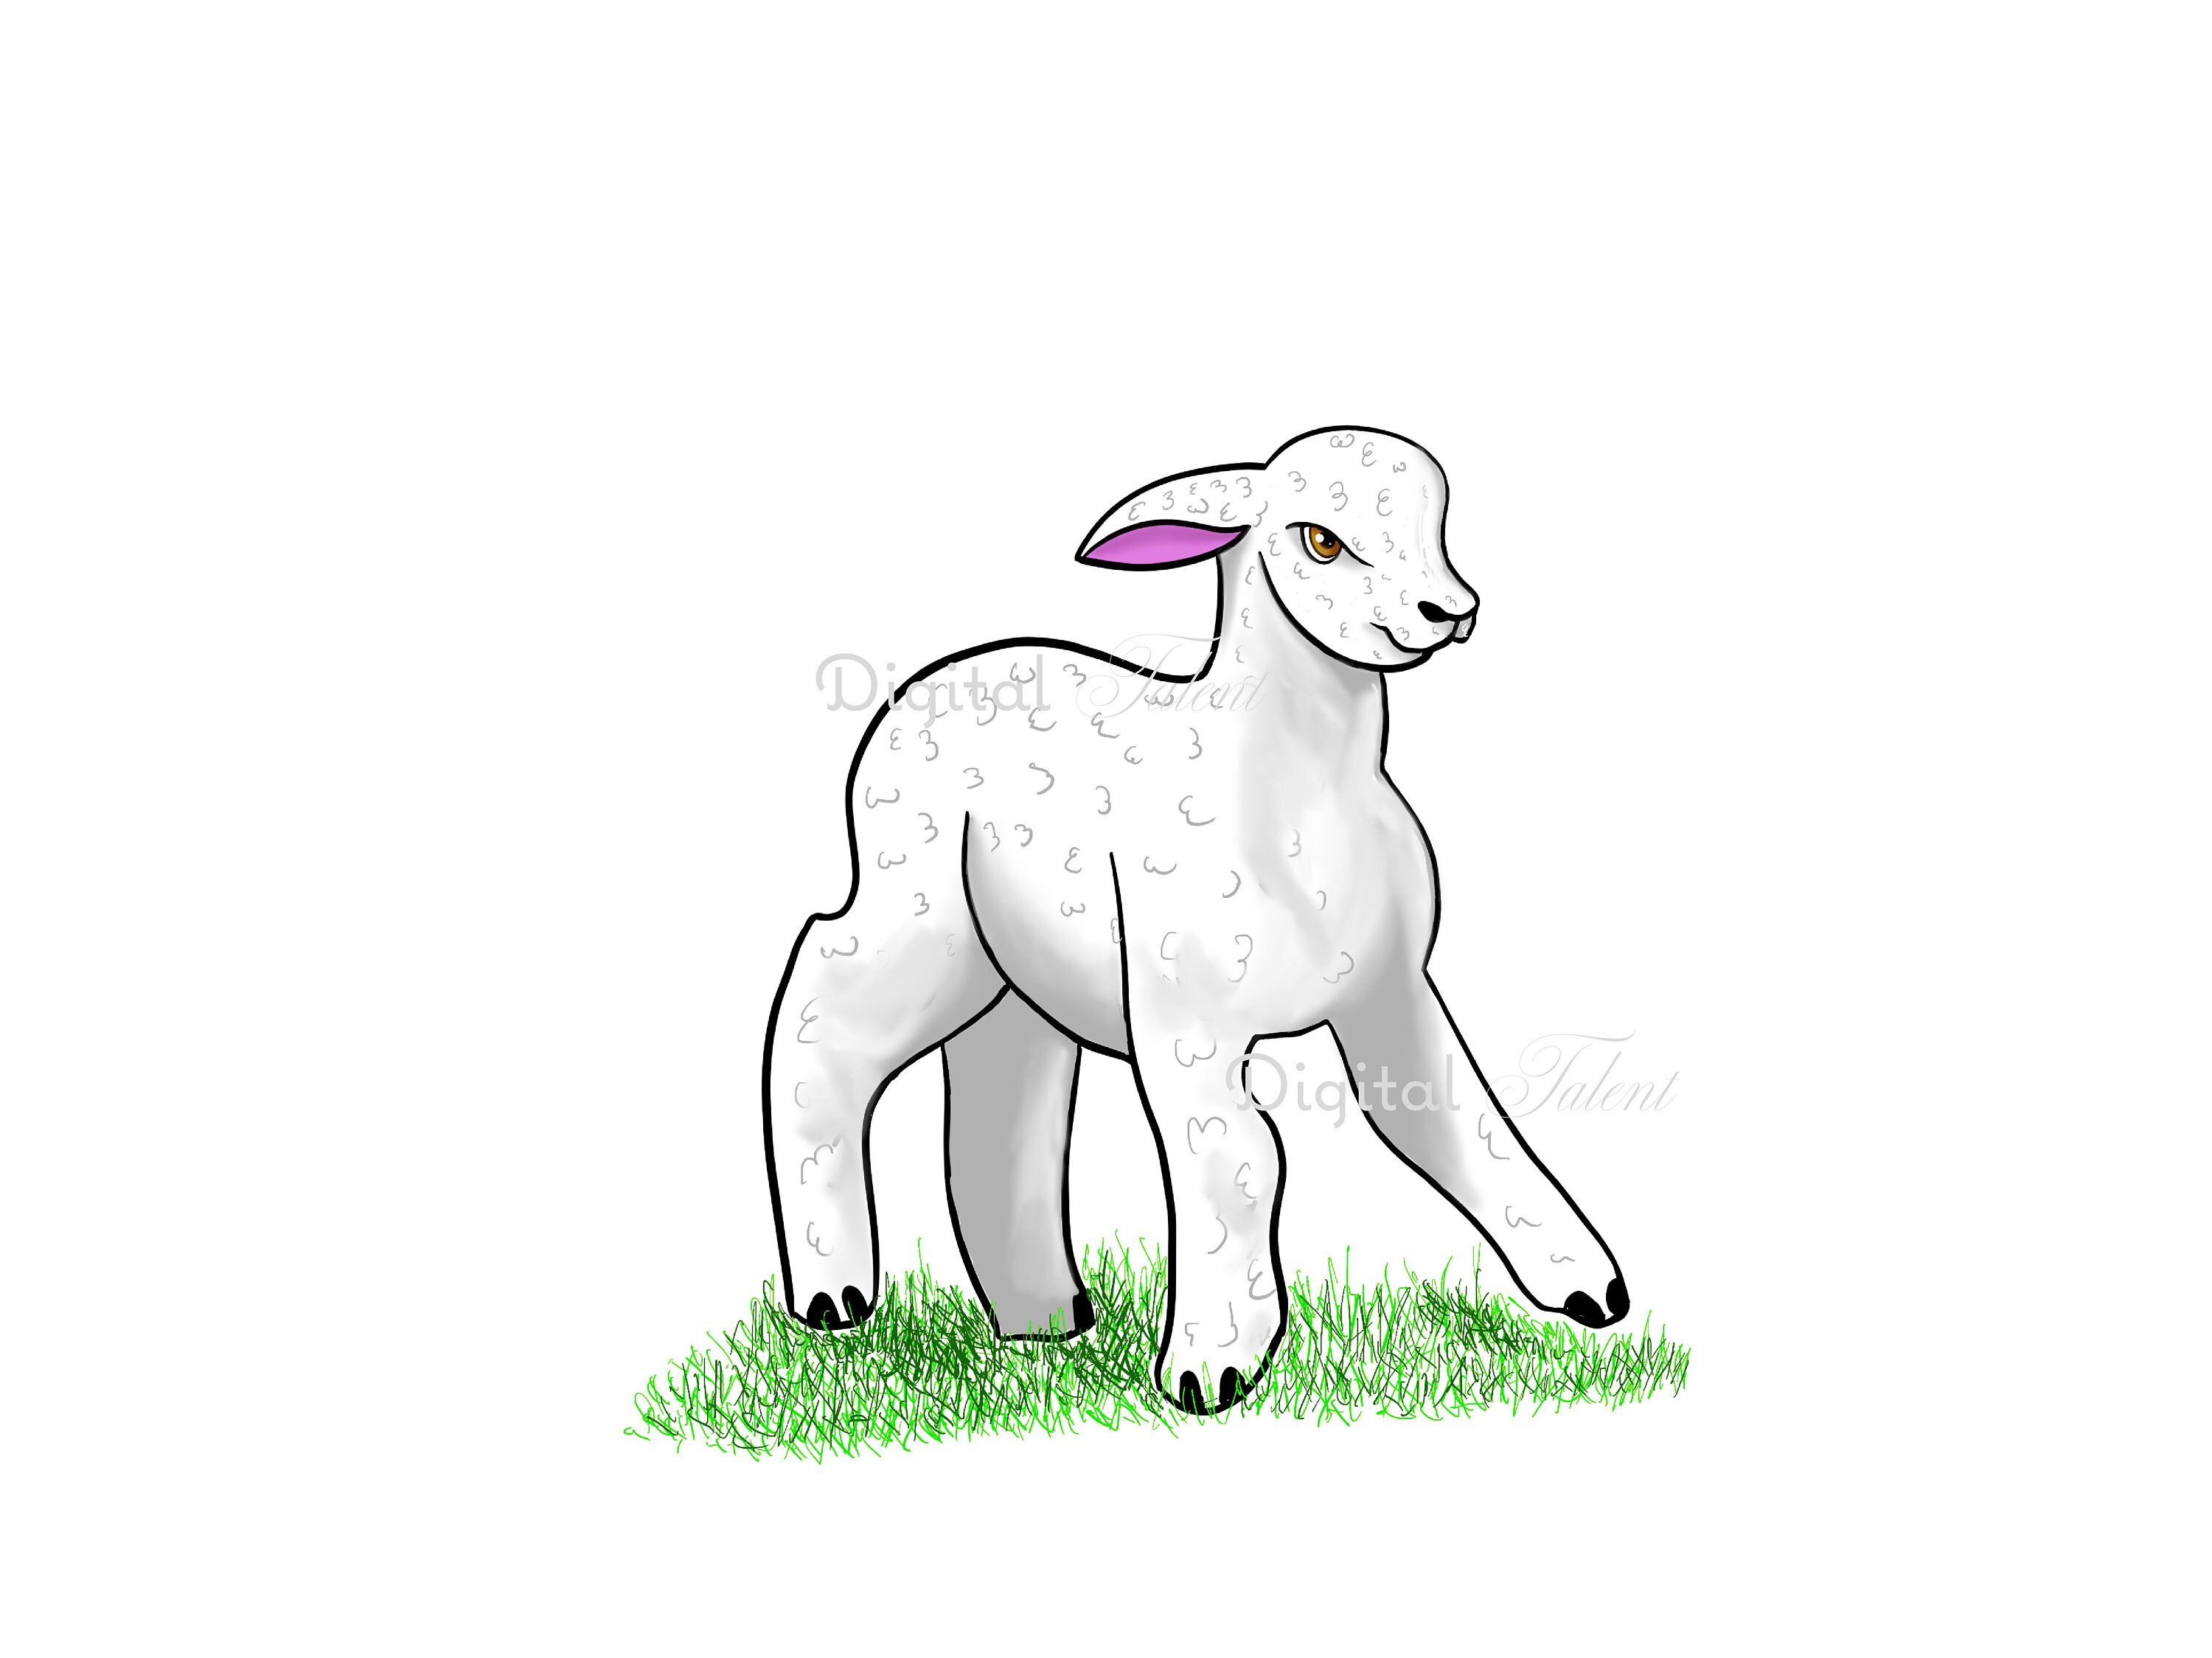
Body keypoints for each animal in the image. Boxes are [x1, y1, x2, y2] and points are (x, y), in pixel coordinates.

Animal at [762, 425, 1629, 1416]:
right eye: (1320, 539)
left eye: (1438, 520)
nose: (1449, 609)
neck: (1301, 806)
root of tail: (925, 687)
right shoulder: (1186, 1016)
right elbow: (1246, 1161)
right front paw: (1212, 1364)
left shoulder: (1391, 989)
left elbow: (1459, 1122)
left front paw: (1587, 1284)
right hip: (915, 906)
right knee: (821, 1021)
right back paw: (834, 1289)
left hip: (1017, 970)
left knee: (1000, 1094)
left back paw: (1044, 1315)